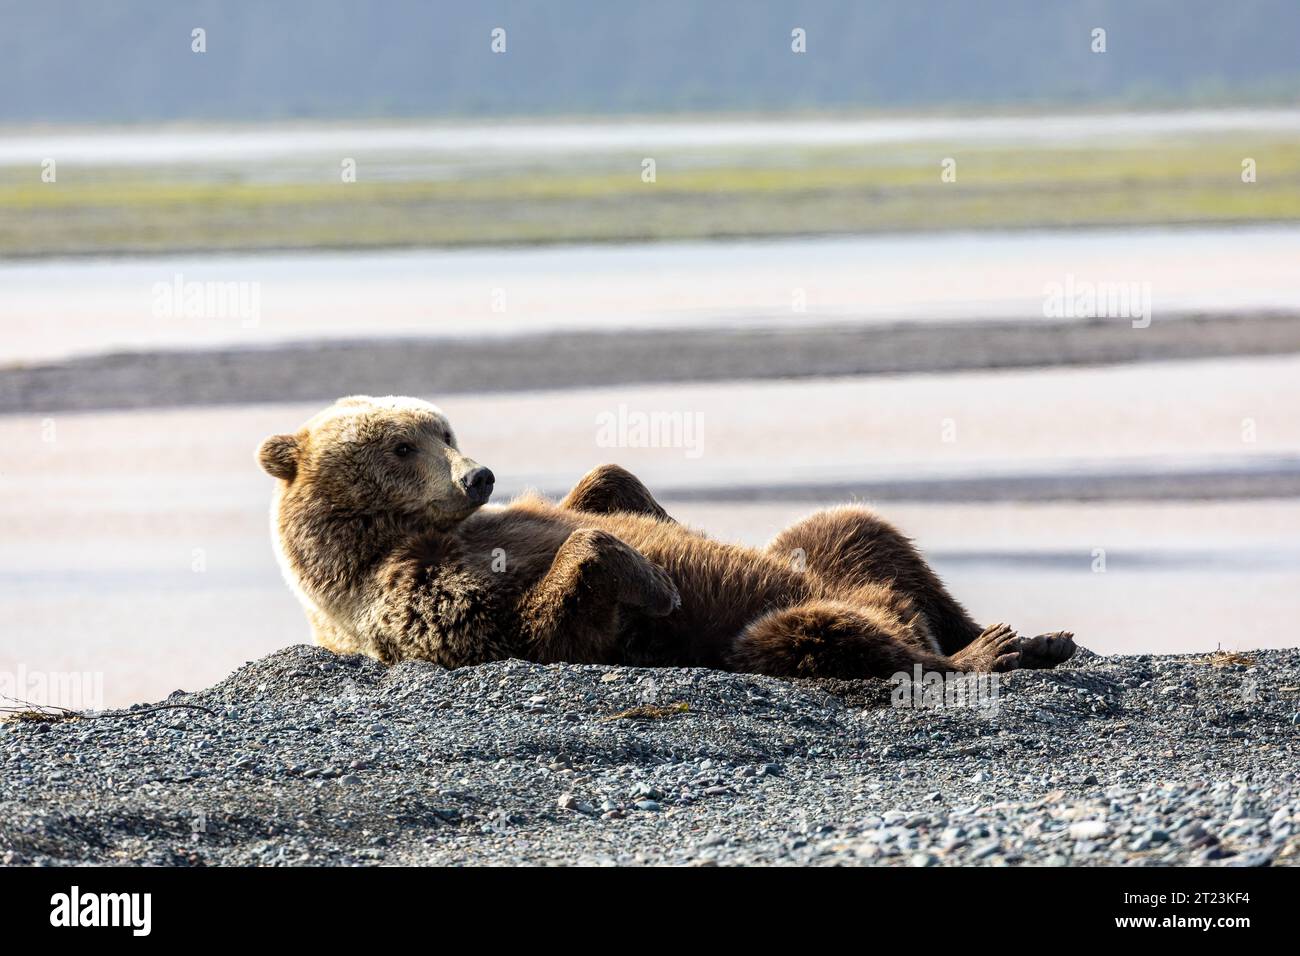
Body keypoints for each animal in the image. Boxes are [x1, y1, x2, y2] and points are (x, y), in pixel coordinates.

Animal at [257, 395, 1075, 679]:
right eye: (401, 445)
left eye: (445, 429)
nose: (478, 475)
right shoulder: (414, 594)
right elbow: (545, 620)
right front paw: (654, 578)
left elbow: (603, 485)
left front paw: (653, 519)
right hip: (761, 630)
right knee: (814, 635)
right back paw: (981, 652)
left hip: (839, 558)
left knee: (858, 528)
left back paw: (1030, 636)